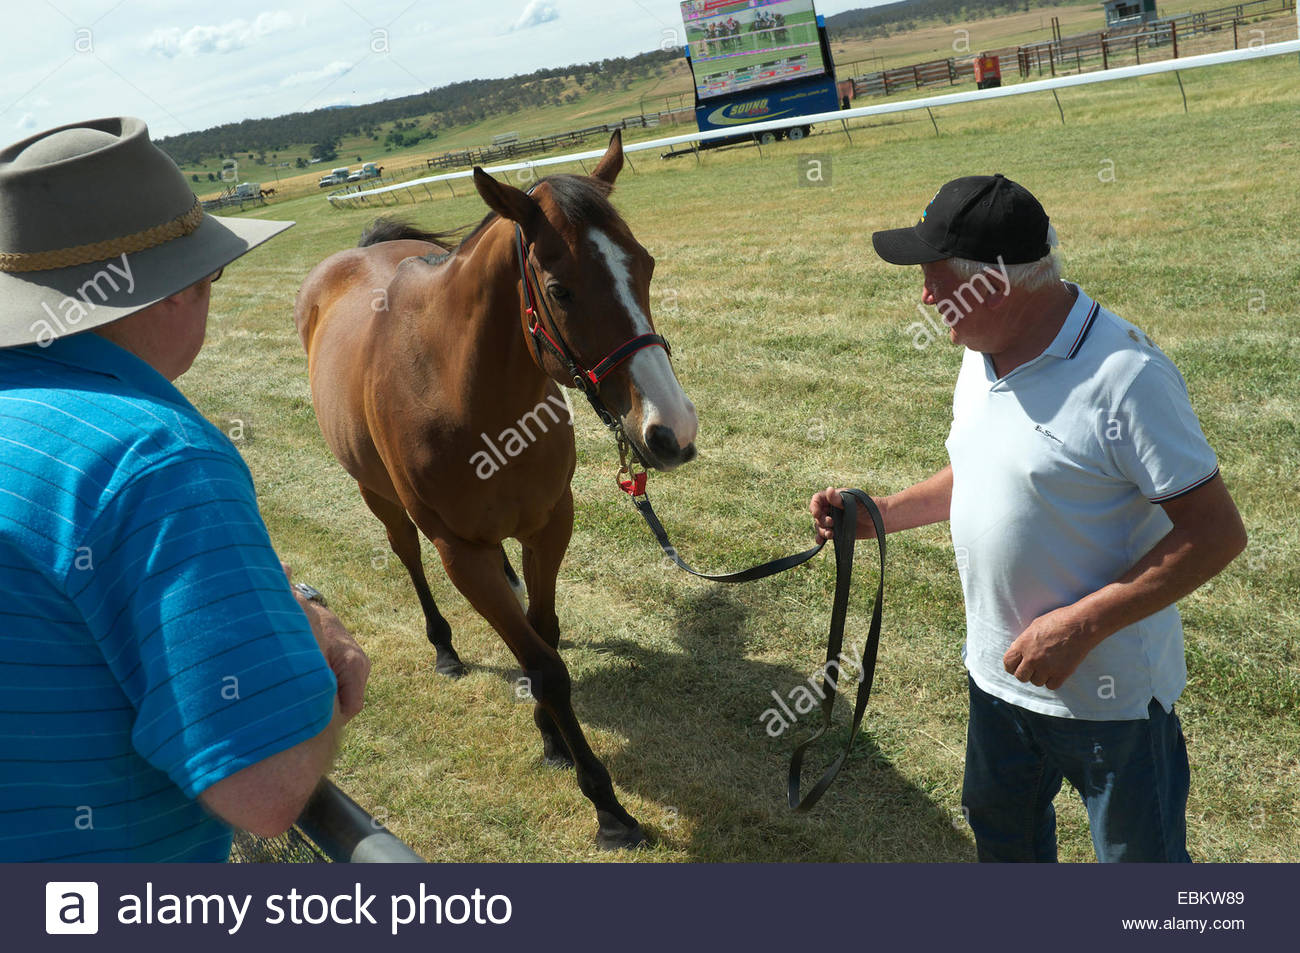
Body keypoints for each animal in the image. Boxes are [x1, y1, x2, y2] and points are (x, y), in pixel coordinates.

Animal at [294, 132, 698, 849]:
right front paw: (607, 805)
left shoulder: (549, 522)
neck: (463, 393)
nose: (670, 430)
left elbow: (546, 633)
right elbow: (545, 666)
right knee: (406, 554)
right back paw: (445, 647)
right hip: (380, 498)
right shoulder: (463, 554)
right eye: (561, 290)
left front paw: (551, 734)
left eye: (645, 266)